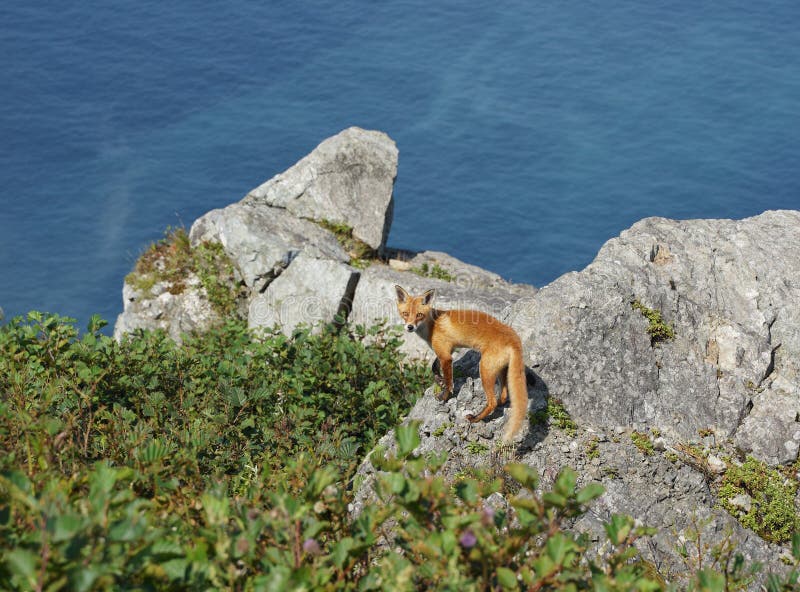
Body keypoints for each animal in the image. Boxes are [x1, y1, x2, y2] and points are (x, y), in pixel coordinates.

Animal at [394, 285, 529, 443]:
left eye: (419, 315)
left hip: (485, 370)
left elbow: (449, 382)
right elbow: (434, 366)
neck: (433, 325)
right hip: (500, 371)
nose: (409, 327)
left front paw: (444, 396)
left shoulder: (446, 356)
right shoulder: (448, 350)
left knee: (493, 402)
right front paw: (438, 379)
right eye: (405, 313)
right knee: (503, 396)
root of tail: (514, 338)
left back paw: (475, 418)